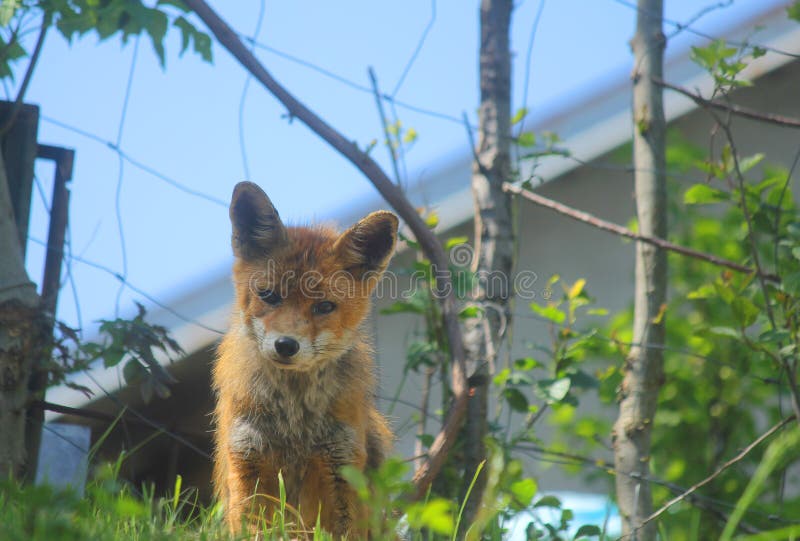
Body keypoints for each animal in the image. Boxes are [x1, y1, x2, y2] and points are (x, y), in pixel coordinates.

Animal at [212, 181, 398, 538]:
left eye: (324, 307)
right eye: (269, 296)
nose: (286, 345)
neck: (294, 420)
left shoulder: (340, 465)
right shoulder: (247, 459)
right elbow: (253, 527)